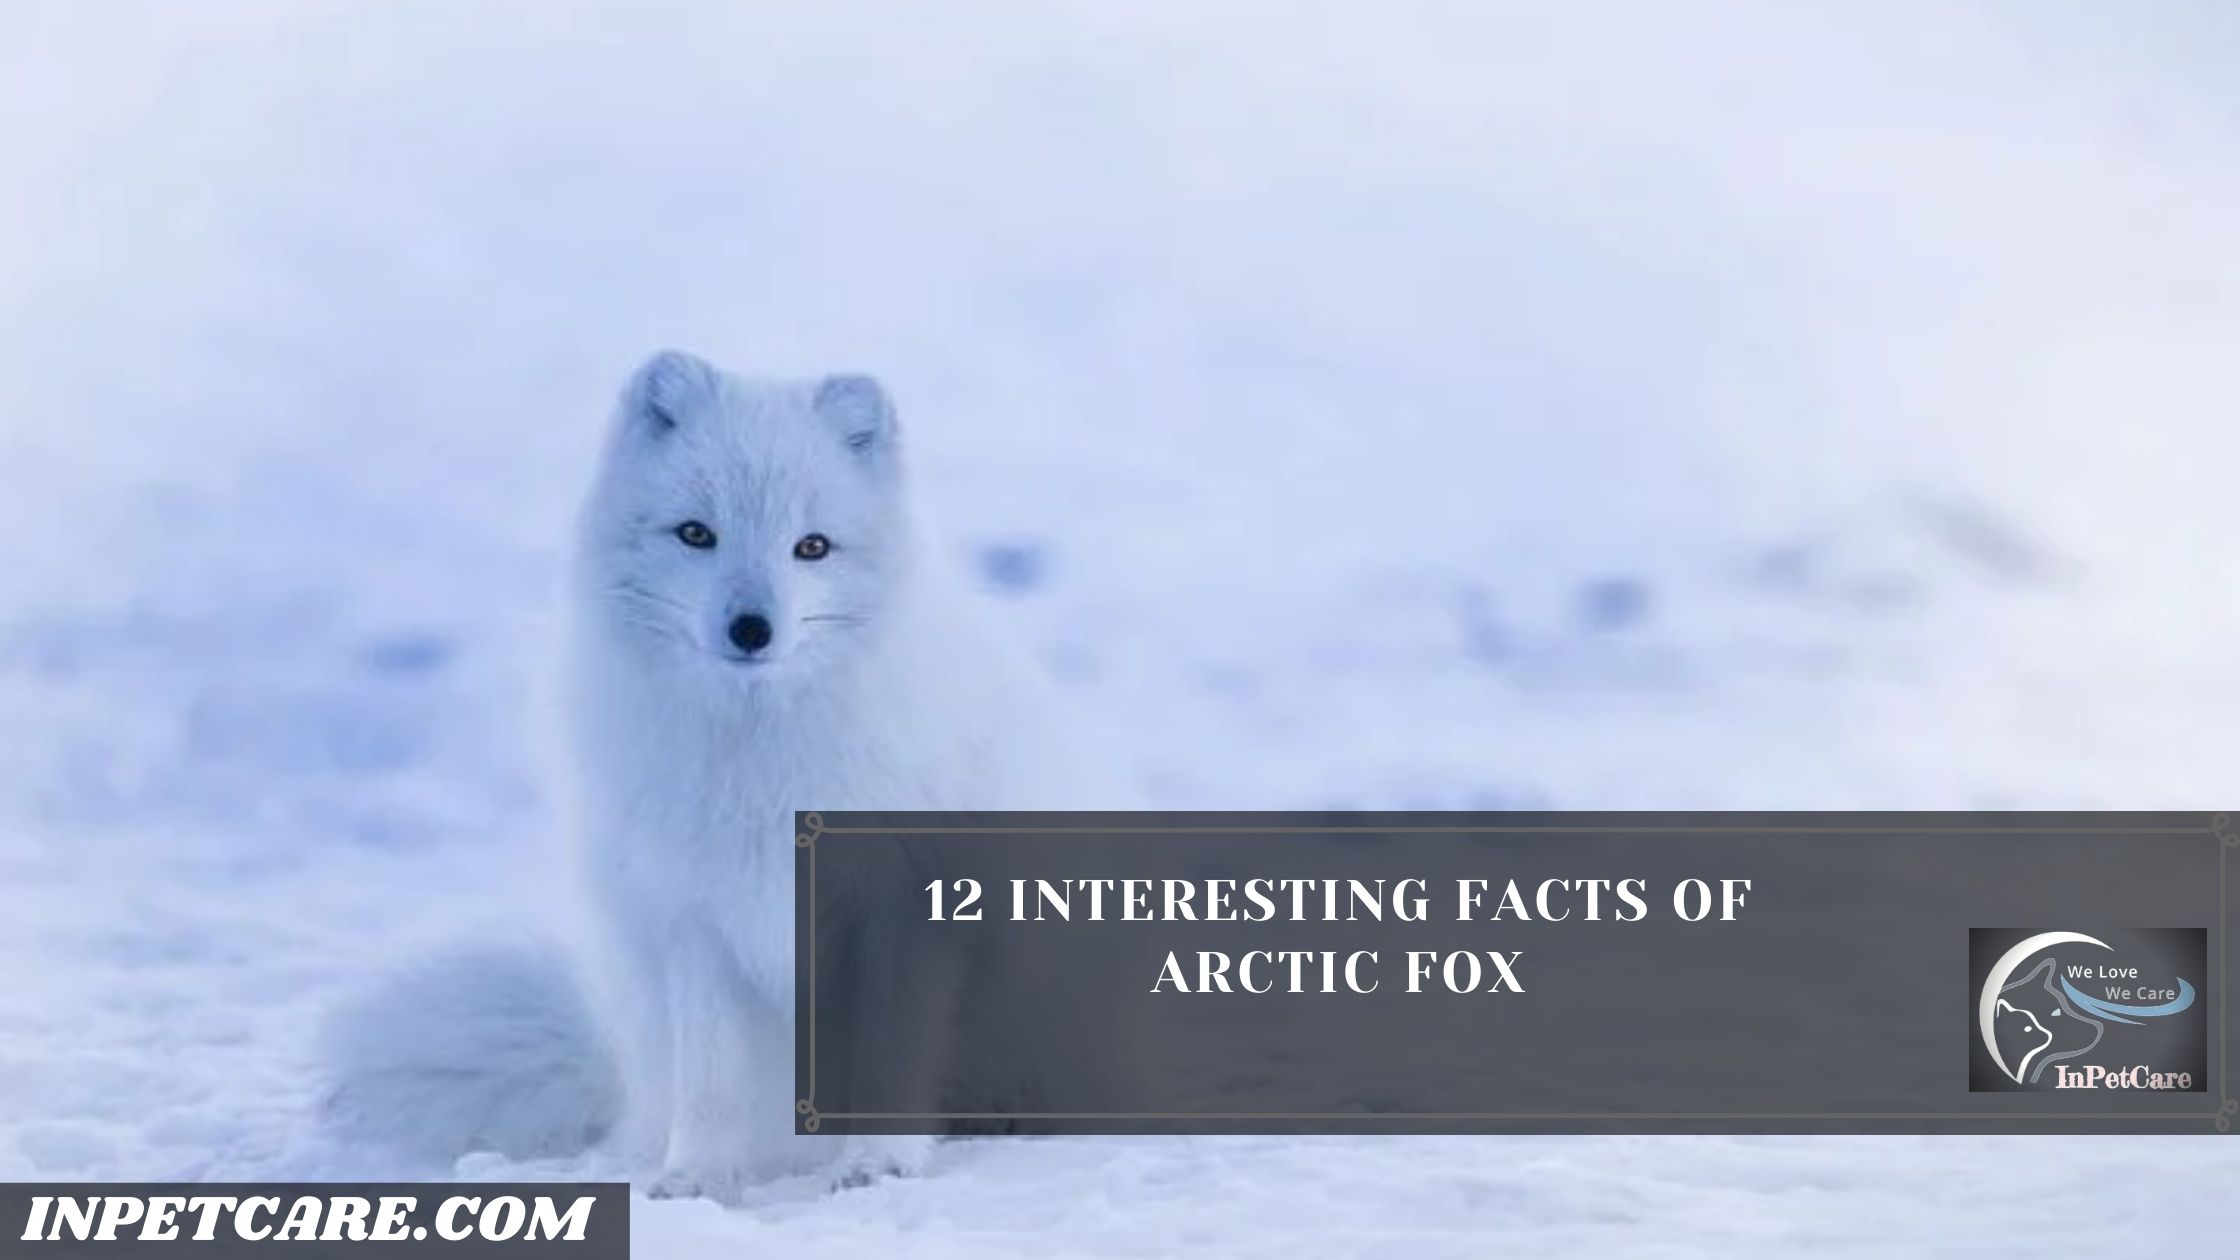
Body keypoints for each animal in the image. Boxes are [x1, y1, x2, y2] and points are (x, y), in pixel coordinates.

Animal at [322, 351, 1127, 1199]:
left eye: (813, 547)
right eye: (696, 534)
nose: (750, 628)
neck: (760, 761)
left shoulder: (901, 915)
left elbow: (888, 1057)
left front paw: (876, 1161)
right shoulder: (698, 924)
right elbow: (711, 1081)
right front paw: (695, 1178)